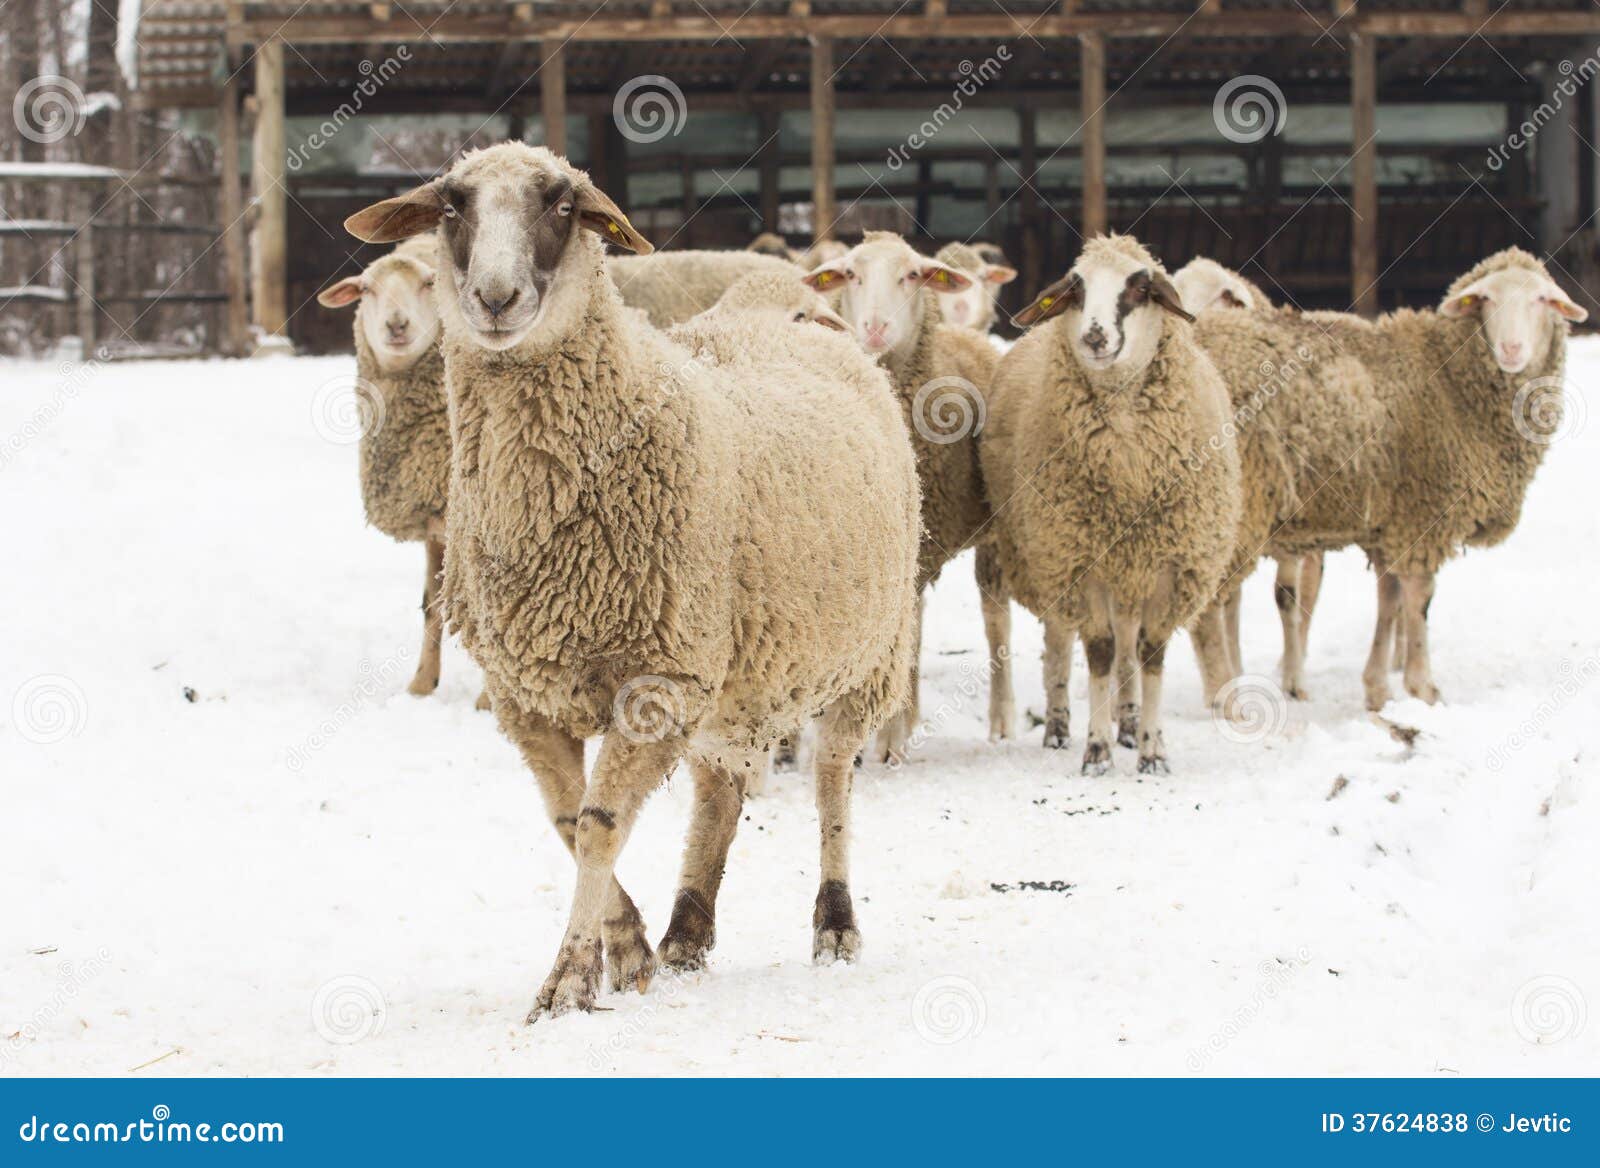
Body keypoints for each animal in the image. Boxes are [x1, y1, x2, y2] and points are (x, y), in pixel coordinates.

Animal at [317, 235, 489, 706]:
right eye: (367, 288)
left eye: (429, 282)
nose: (396, 325)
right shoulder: (436, 520)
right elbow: (431, 603)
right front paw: (421, 685)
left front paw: (491, 701)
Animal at [802, 230, 1006, 756]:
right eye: (850, 274)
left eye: (913, 274)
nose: (875, 328)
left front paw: (890, 738)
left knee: (995, 622)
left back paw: (1001, 720)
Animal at [980, 234, 1242, 774]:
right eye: (1076, 290)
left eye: (1140, 289)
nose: (1095, 337)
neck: (1127, 473)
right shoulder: (1079, 560)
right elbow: (1098, 650)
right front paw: (1096, 751)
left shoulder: (1169, 566)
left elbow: (1150, 653)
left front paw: (1151, 750)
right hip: (1049, 556)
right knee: (1063, 640)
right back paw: (1059, 727)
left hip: (1127, 567)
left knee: (1128, 643)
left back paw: (1128, 720)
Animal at [1188, 247, 1584, 710]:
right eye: (1486, 299)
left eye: (1542, 300)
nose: (1512, 349)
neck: (1451, 380)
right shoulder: (1423, 512)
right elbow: (1419, 600)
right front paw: (1423, 687)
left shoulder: (1393, 521)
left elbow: (1389, 599)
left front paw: (1378, 686)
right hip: (1234, 504)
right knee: (1208, 609)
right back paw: (1224, 697)